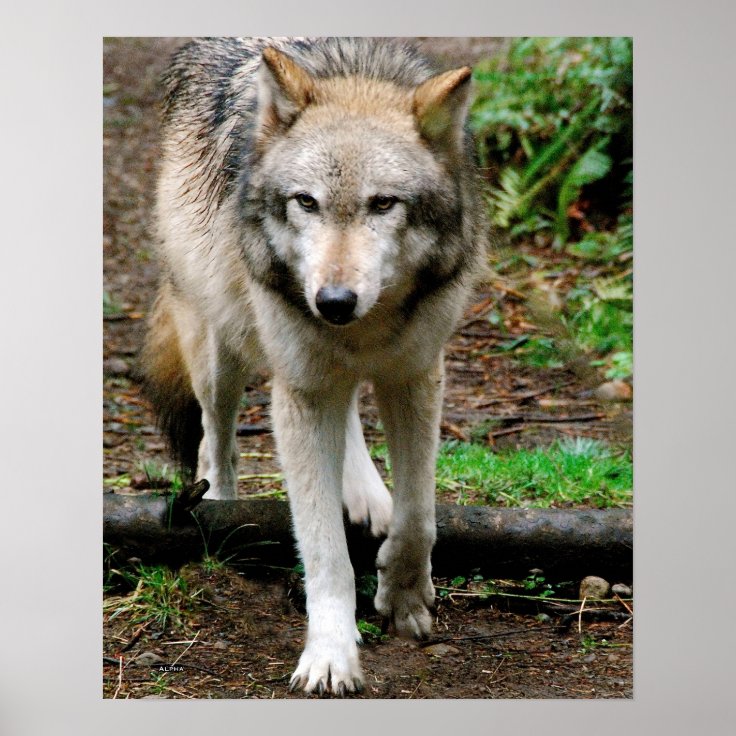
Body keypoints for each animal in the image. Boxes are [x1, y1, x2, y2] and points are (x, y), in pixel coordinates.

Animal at [142, 37, 487, 695]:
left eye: (383, 204)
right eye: (307, 202)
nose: (333, 302)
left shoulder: (416, 374)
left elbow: (418, 516)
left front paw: (404, 598)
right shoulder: (300, 388)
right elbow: (325, 549)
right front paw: (331, 654)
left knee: (346, 412)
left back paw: (366, 494)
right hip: (224, 350)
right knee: (216, 443)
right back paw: (222, 509)